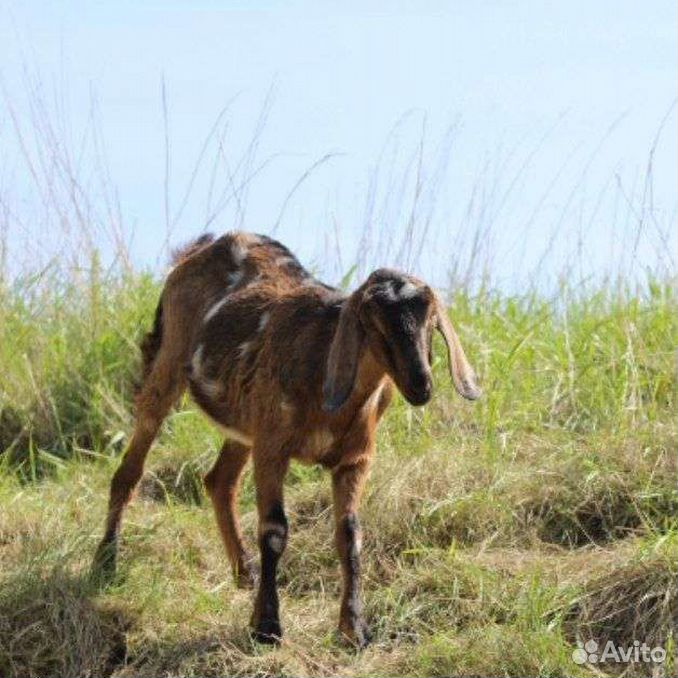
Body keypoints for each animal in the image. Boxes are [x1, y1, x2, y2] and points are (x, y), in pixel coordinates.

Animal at [93, 232, 480, 648]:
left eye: (430, 320)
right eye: (372, 322)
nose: (420, 384)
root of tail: (206, 245)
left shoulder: (355, 459)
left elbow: (350, 534)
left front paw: (354, 629)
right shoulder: (273, 448)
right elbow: (275, 530)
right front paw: (266, 627)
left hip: (246, 420)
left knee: (220, 481)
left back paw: (244, 572)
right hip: (170, 363)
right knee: (130, 469)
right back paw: (106, 562)